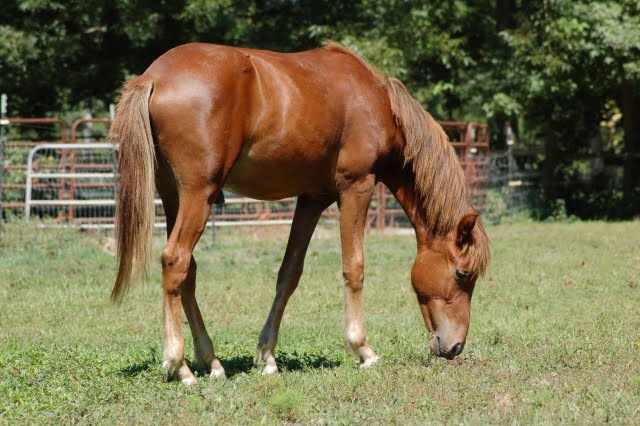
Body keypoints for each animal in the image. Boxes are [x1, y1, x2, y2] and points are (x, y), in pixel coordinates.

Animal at [109, 42, 490, 384]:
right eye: (462, 274)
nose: (455, 347)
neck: (376, 102)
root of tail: (154, 77)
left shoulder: (312, 198)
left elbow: (289, 273)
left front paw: (267, 357)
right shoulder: (357, 187)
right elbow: (354, 268)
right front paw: (363, 350)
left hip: (173, 195)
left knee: (188, 271)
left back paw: (212, 362)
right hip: (198, 194)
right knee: (175, 261)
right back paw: (180, 366)